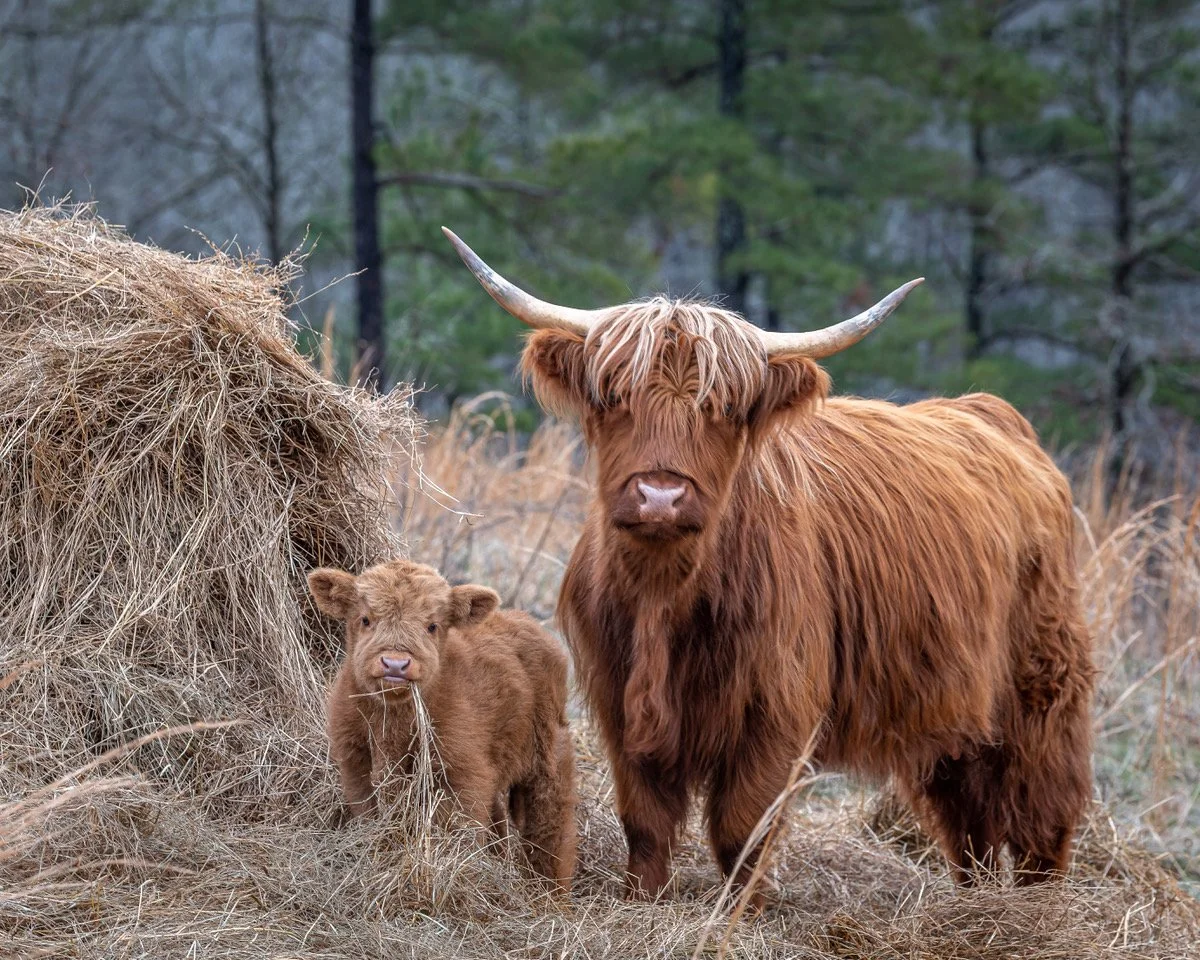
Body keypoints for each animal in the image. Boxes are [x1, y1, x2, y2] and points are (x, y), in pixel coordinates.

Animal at [308, 559, 578, 892]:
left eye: (432, 625)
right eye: (366, 619)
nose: (395, 664)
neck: (393, 728)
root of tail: (526, 621)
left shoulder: (462, 774)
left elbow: (455, 829)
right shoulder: (354, 761)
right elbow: (372, 814)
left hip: (549, 758)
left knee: (550, 828)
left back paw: (549, 893)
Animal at [443, 227, 1095, 900]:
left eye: (723, 409)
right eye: (616, 398)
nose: (660, 495)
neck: (662, 596)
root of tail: (994, 415)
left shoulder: (776, 710)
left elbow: (743, 828)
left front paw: (738, 910)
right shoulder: (621, 701)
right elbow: (645, 822)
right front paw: (643, 897)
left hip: (1042, 681)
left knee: (1042, 802)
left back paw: (1037, 904)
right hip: (956, 703)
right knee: (969, 814)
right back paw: (977, 898)